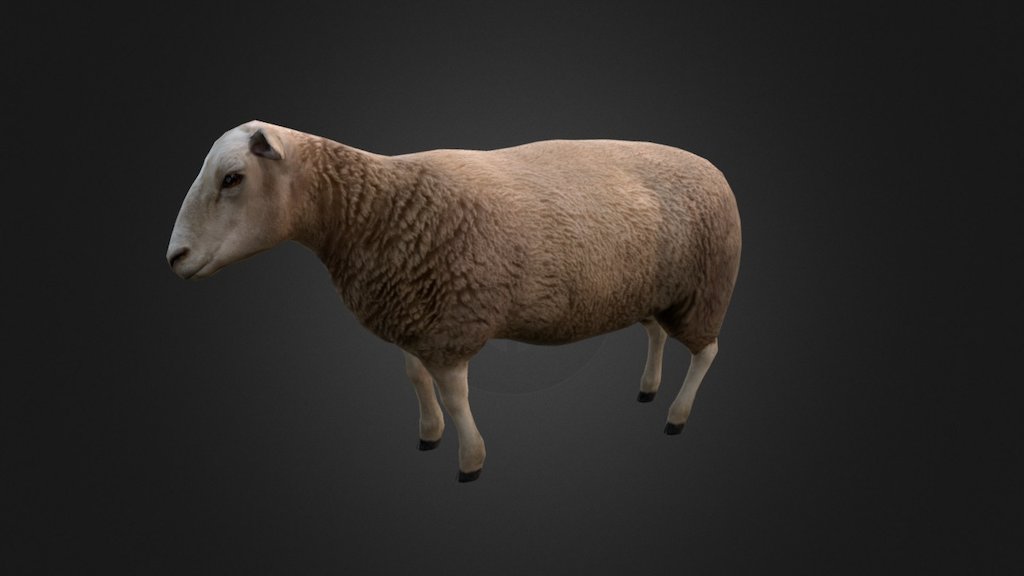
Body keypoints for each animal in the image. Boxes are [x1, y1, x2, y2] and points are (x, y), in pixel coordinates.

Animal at [167, 120, 742, 482]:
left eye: (233, 177)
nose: (175, 256)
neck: (371, 211)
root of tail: (711, 167)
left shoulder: (452, 323)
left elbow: (455, 395)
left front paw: (471, 459)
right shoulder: (413, 314)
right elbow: (415, 379)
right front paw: (428, 434)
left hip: (705, 287)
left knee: (707, 353)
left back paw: (676, 414)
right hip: (654, 288)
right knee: (655, 333)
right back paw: (648, 388)